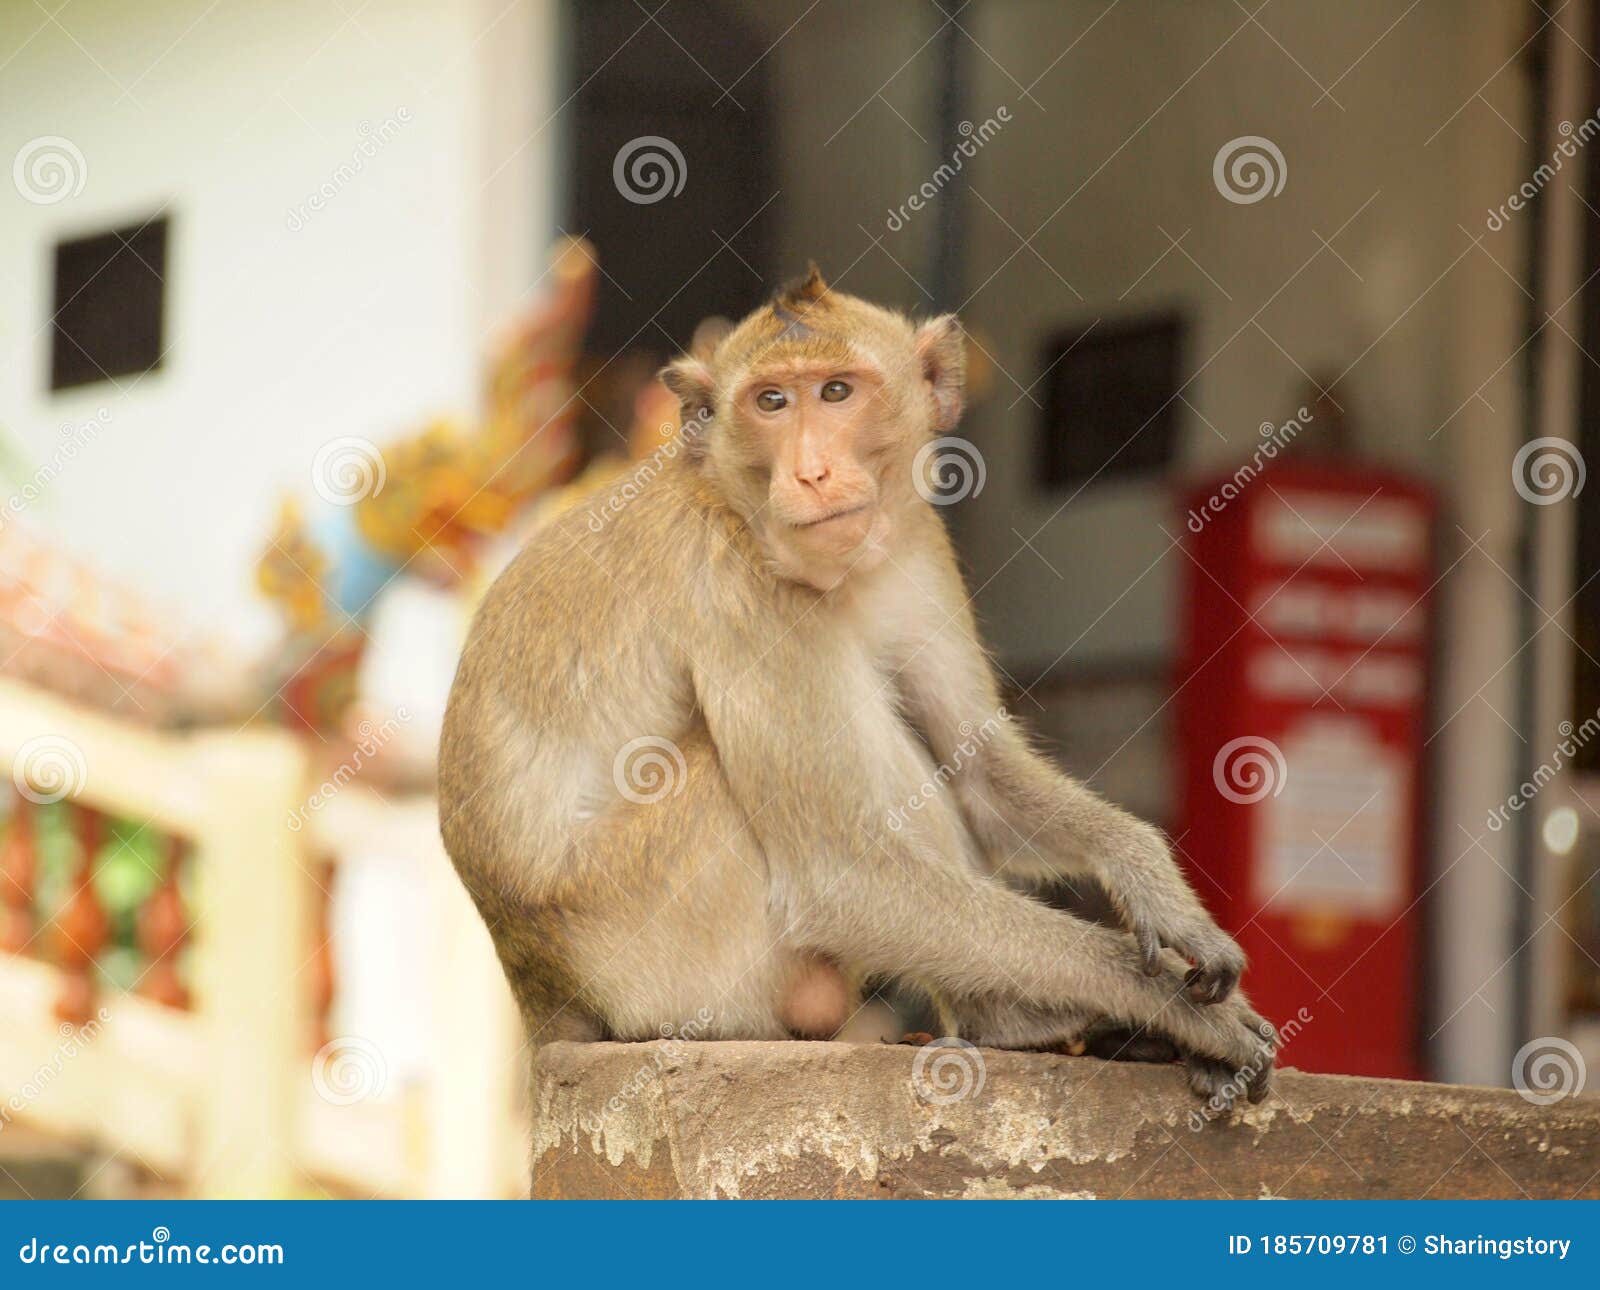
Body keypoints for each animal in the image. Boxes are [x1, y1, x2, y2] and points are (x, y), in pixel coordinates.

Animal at [438, 266, 1276, 1106]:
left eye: (837, 391)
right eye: (772, 401)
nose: (810, 472)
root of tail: (545, 996)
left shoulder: (919, 538)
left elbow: (979, 771)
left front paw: (1155, 885)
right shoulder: (738, 582)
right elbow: (841, 875)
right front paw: (1170, 1002)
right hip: (661, 950)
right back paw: (1017, 1020)